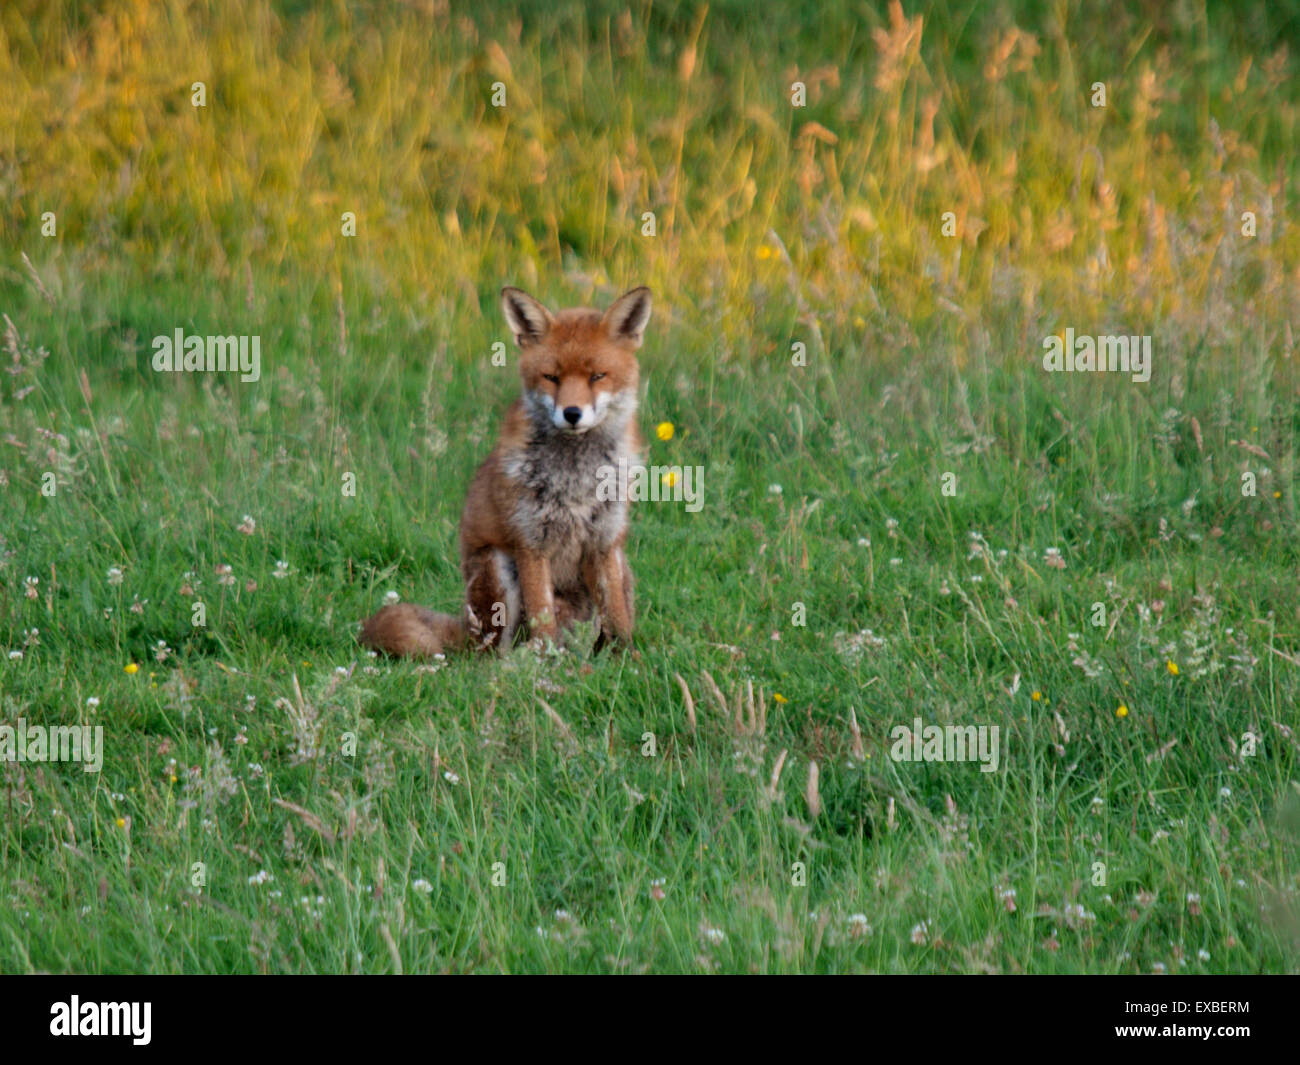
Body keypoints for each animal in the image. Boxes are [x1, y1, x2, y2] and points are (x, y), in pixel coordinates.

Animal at [358, 284, 652, 658]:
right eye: (552, 378)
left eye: (597, 376)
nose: (572, 413)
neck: (575, 474)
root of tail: (466, 630)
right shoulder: (529, 541)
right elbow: (543, 615)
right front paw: (547, 660)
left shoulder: (605, 540)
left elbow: (616, 615)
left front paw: (627, 658)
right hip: (496, 570)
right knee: (493, 651)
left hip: (623, 568)